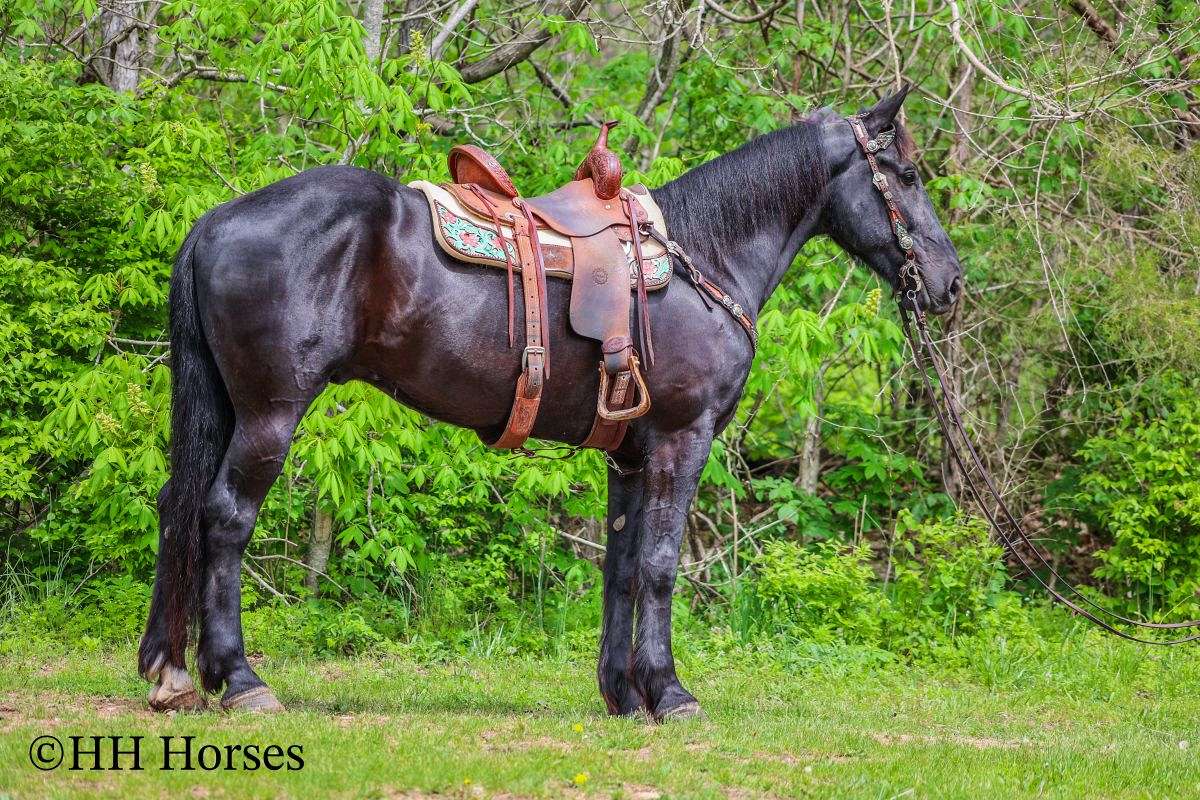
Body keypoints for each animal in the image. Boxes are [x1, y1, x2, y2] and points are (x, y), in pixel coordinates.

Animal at [139, 85, 963, 720]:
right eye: (907, 175)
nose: (949, 282)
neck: (705, 257)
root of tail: (215, 222)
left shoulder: (630, 457)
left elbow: (622, 568)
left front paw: (625, 695)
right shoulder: (681, 440)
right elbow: (660, 565)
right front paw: (671, 693)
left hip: (226, 409)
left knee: (177, 505)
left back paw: (170, 672)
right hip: (271, 414)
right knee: (224, 517)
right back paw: (240, 679)